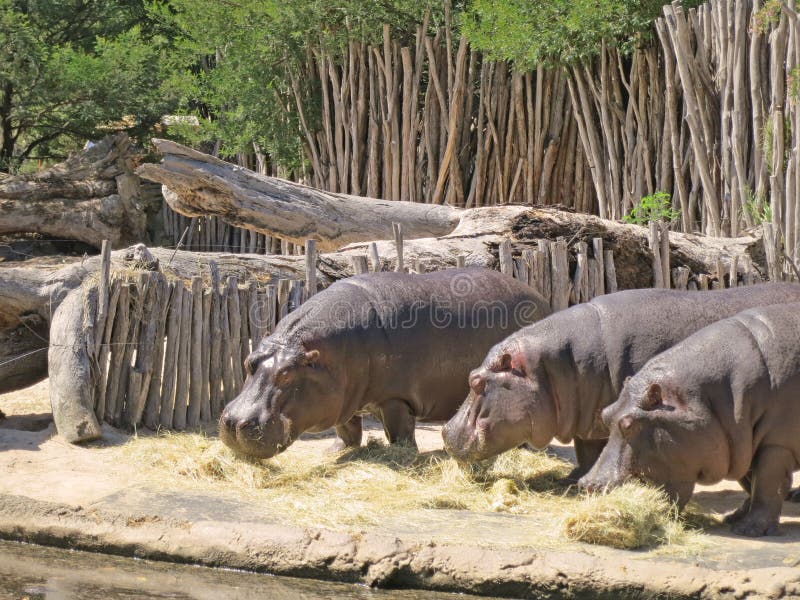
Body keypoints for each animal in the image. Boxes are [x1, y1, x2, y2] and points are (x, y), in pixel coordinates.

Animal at [220, 268, 550, 458]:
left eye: (287, 374)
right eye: (249, 362)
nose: (234, 422)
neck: (323, 355)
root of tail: (540, 297)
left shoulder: (395, 398)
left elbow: (399, 431)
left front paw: (404, 455)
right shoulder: (343, 397)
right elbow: (347, 428)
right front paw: (334, 451)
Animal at [442, 284, 800, 480]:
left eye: (476, 382)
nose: (445, 433)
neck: (558, 366)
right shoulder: (588, 417)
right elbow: (587, 450)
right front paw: (573, 479)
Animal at [579, 302, 800, 537]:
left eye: (629, 425)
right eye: (606, 413)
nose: (587, 484)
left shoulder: (776, 444)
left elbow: (767, 484)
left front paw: (748, 529)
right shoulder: (743, 443)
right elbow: (750, 483)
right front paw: (734, 517)